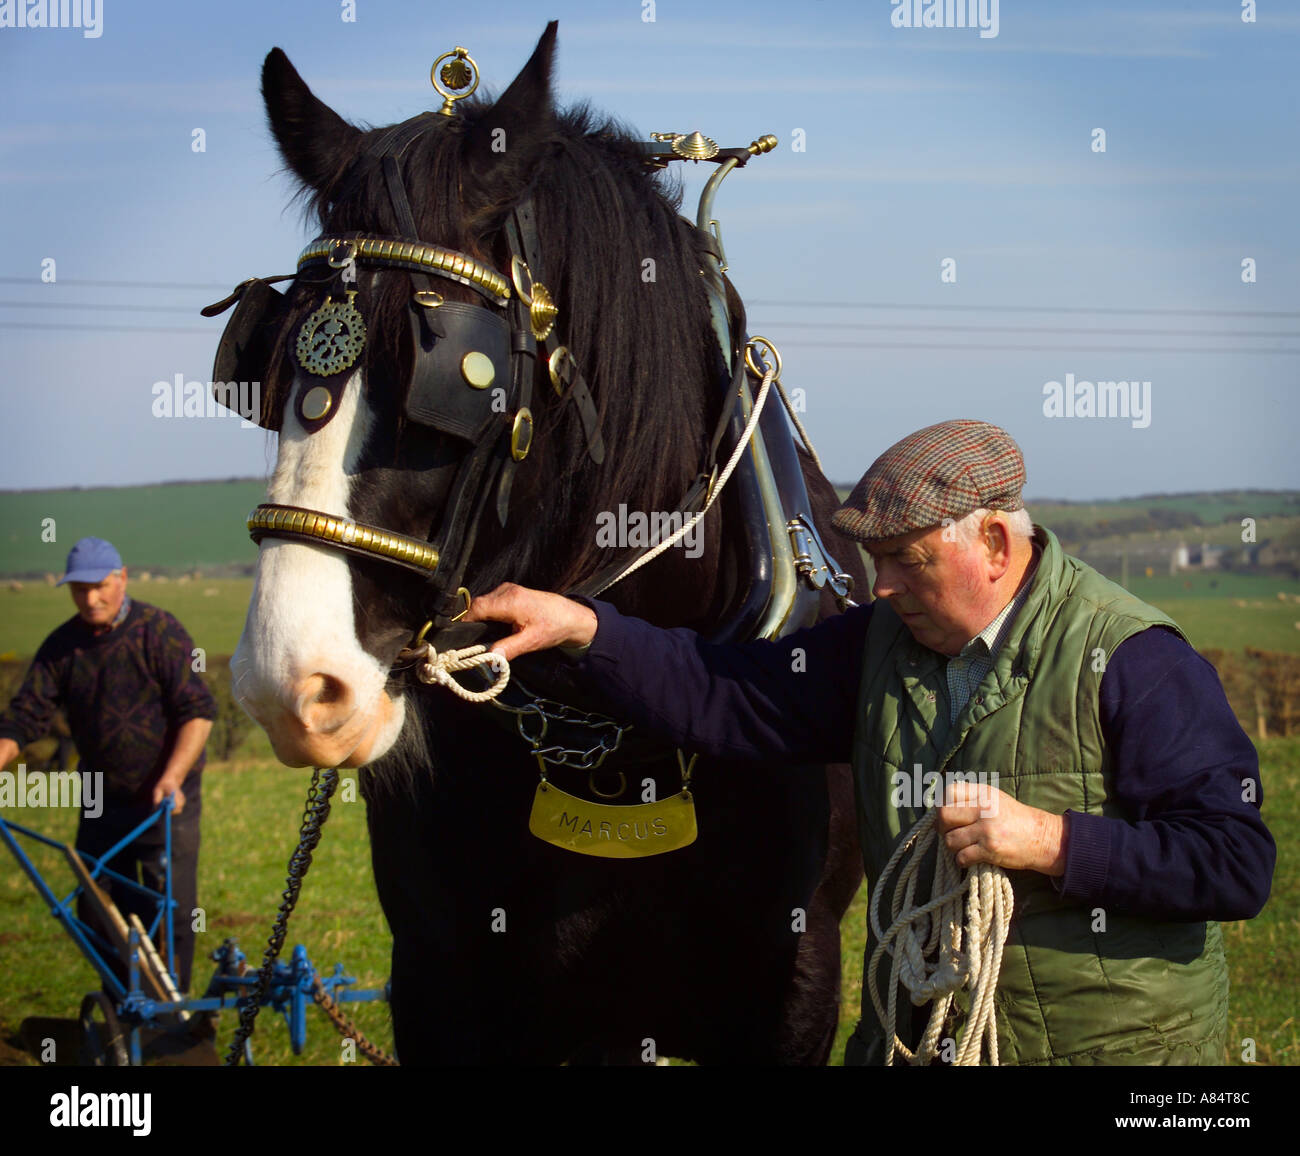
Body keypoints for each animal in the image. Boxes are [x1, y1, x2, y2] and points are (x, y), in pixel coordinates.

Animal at [225, 22, 868, 1064]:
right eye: (264, 363)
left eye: (457, 377)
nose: (292, 681)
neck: (620, 747)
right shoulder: (440, 986)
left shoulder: (796, 993)